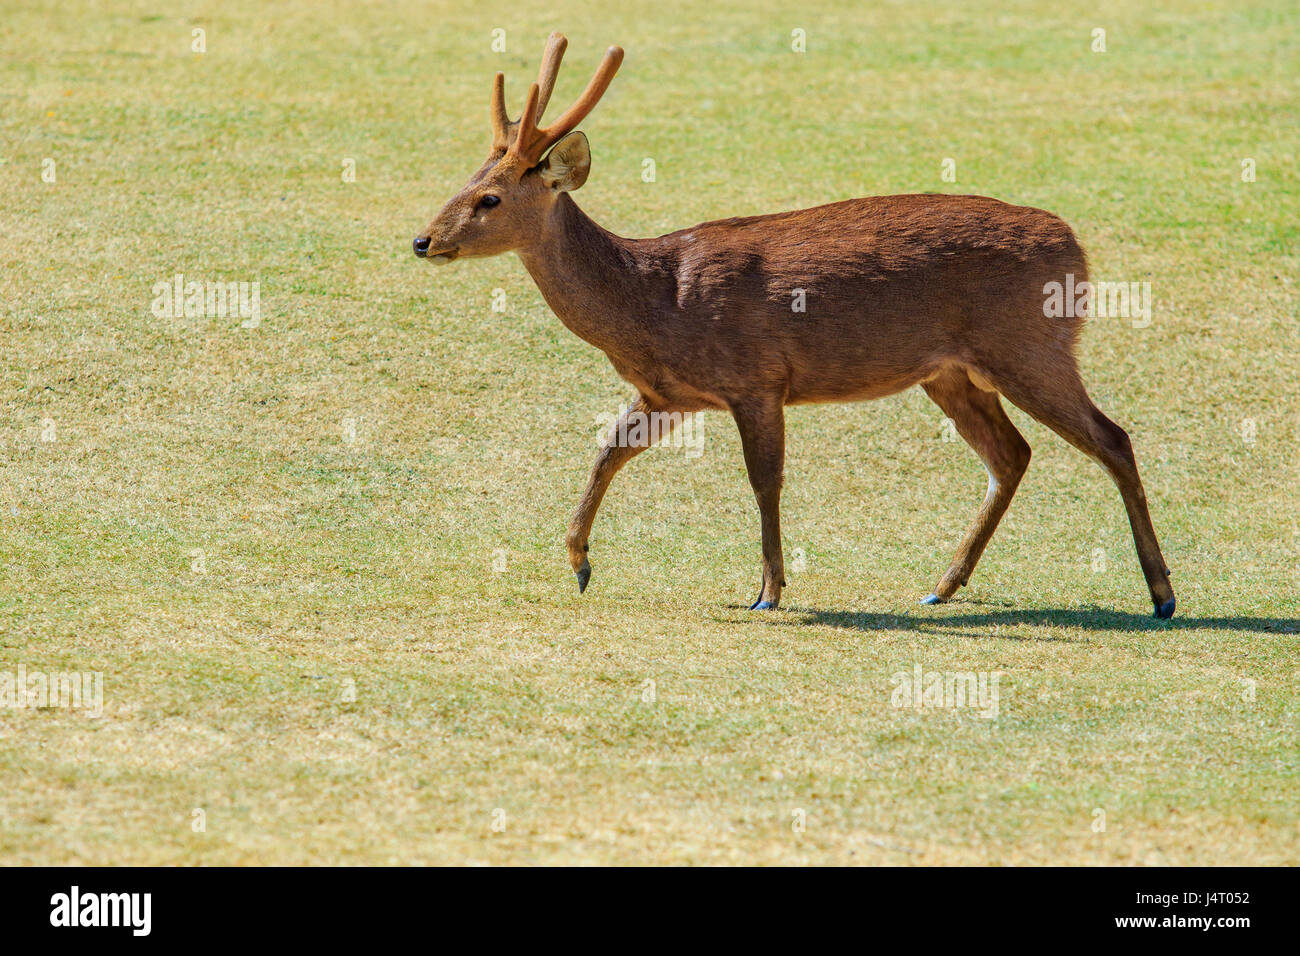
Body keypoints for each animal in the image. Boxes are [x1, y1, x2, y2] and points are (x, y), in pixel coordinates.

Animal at [412, 33, 1176, 619]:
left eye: (490, 199)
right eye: (462, 181)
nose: (423, 241)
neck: (655, 301)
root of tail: (1075, 244)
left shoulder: (756, 377)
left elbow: (764, 482)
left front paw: (769, 591)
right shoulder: (670, 393)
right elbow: (607, 451)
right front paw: (578, 563)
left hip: (1029, 343)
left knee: (1112, 437)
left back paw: (1163, 594)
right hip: (952, 370)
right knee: (1012, 453)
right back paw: (941, 586)